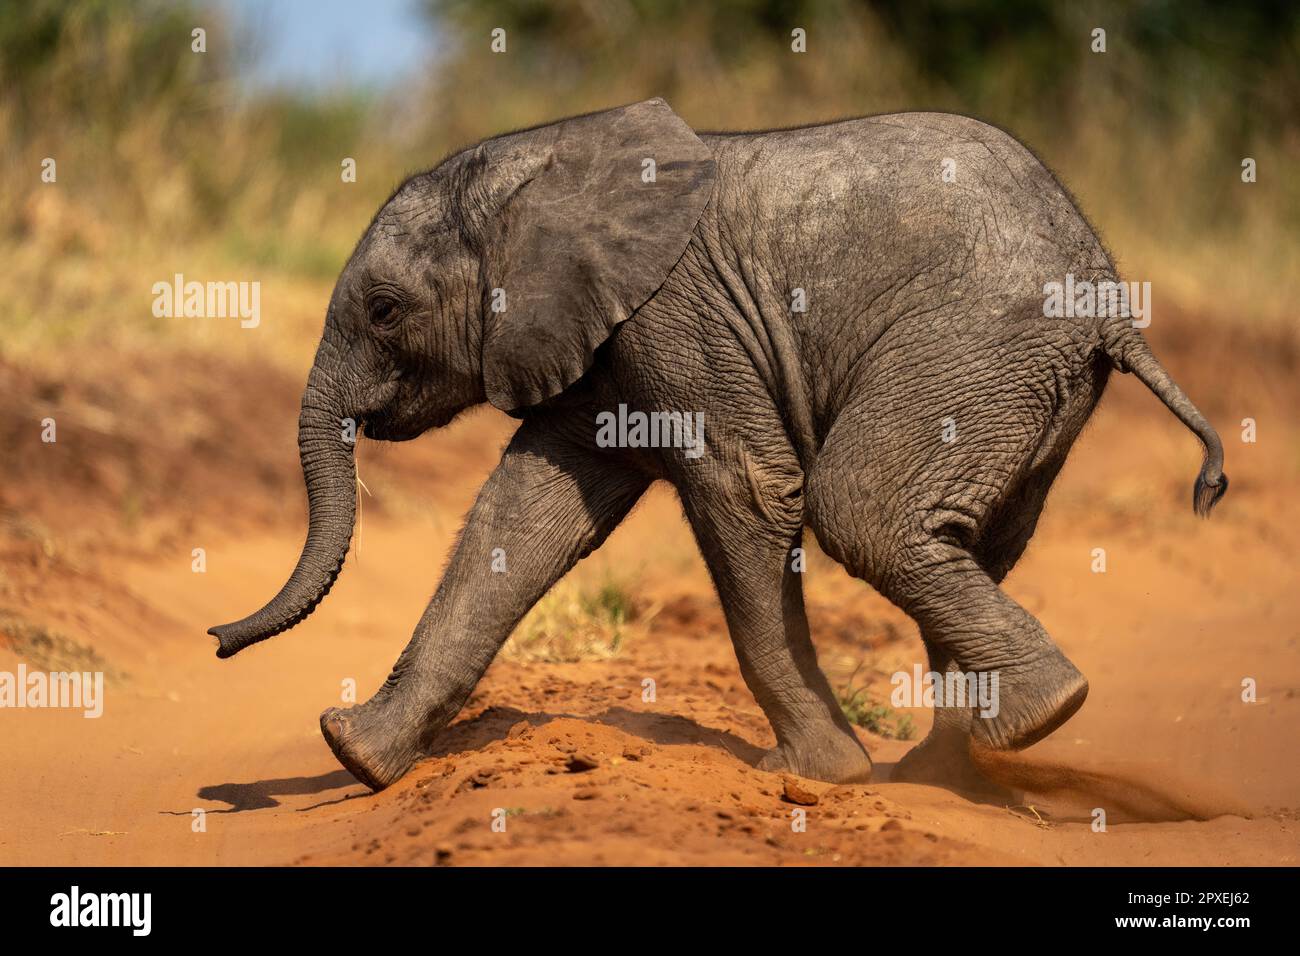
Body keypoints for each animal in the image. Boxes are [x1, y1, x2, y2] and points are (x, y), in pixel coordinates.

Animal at [209, 99, 1226, 794]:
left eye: (385, 311)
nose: (216, 638)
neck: (543, 163)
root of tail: (1112, 298)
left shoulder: (676, 316)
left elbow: (749, 489)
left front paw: (824, 777)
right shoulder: (600, 341)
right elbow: (524, 518)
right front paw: (357, 754)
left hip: (972, 345)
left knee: (861, 511)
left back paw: (1031, 721)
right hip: (1012, 386)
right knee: (969, 540)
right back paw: (956, 768)